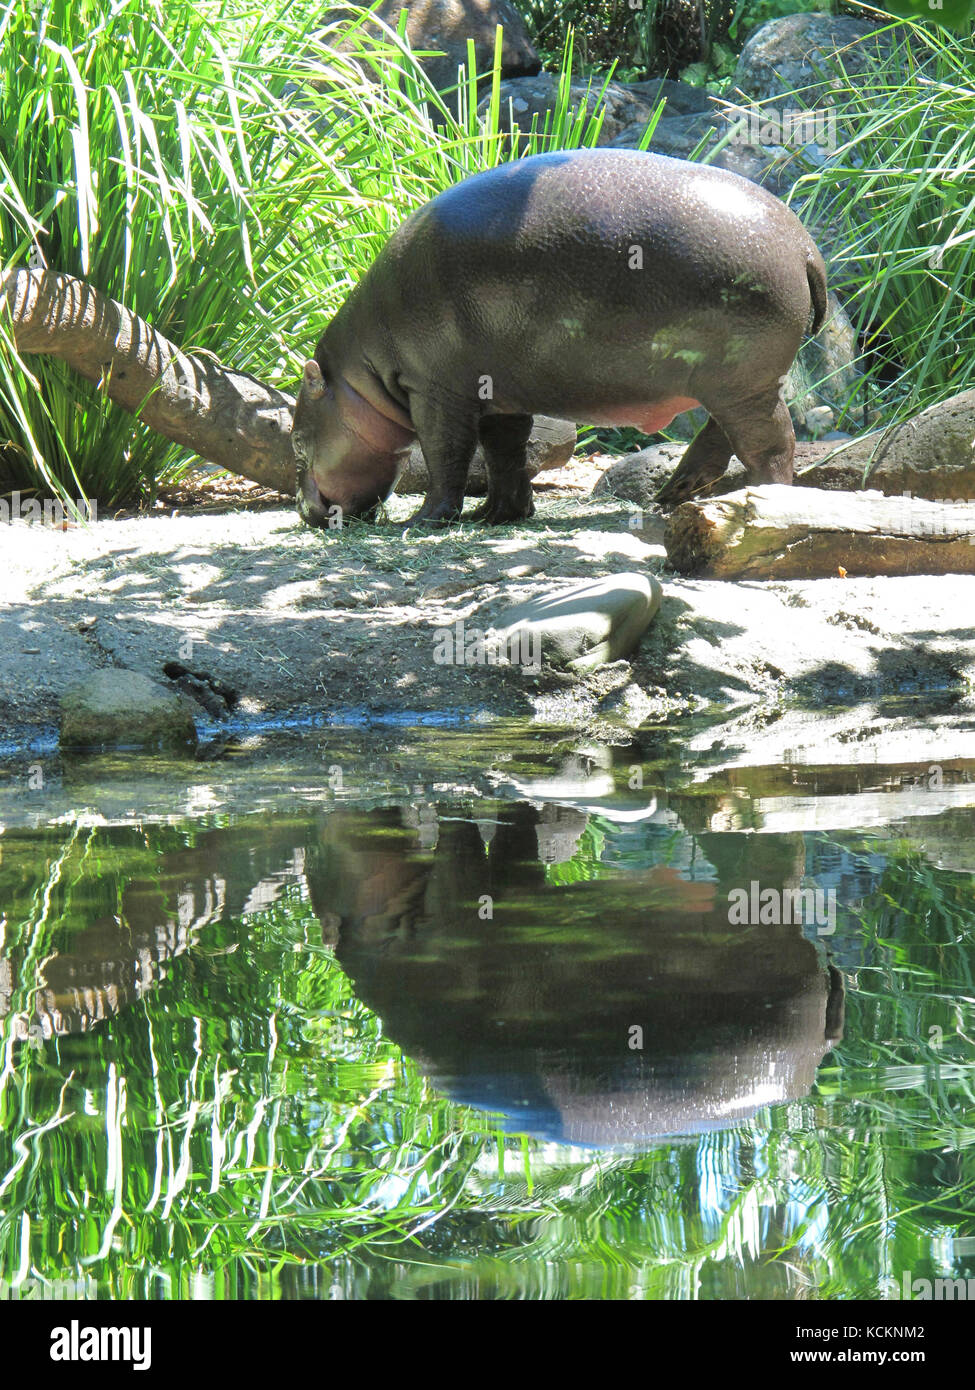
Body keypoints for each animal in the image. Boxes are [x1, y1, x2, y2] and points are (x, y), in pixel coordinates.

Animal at [292, 148, 828, 527]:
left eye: (296, 440)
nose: (302, 510)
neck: (362, 374)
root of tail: (805, 244)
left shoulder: (435, 392)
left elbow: (446, 455)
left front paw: (424, 521)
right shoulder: (499, 395)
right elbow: (505, 453)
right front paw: (498, 516)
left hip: (743, 382)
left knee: (770, 443)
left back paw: (764, 499)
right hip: (736, 381)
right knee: (722, 435)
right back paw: (673, 494)